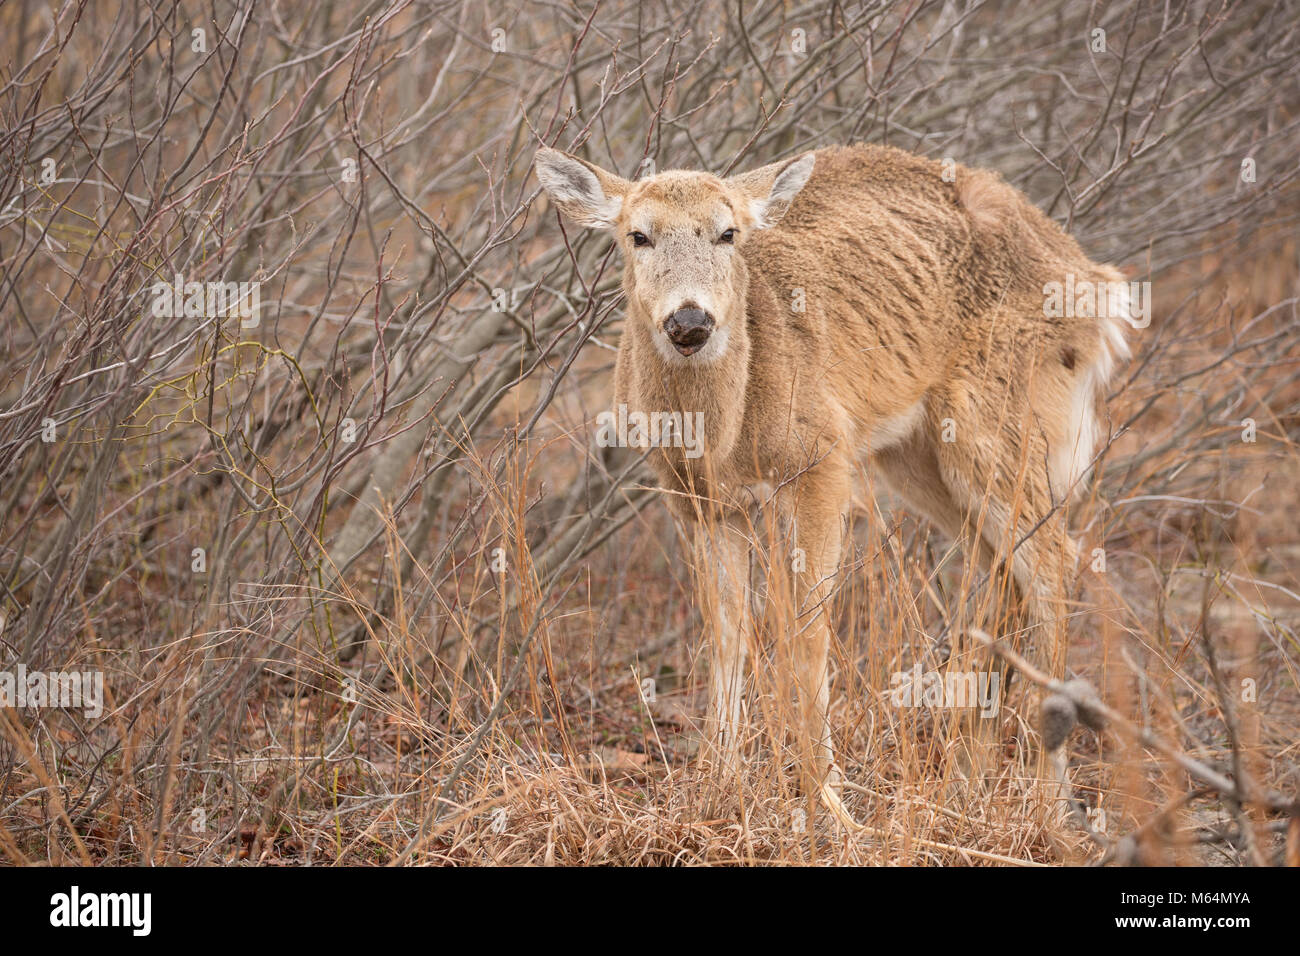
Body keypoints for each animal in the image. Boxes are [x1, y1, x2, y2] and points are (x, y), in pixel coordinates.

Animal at [534, 142, 1133, 826]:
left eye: (728, 232)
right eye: (638, 235)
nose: (690, 321)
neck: (723, 431)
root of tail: (1095, 282)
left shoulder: (823, 459)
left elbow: (808, 634)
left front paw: (830, 803)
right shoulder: (697, 500)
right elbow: (727, 634)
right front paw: (714, 786)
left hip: (996, 419)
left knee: (1055, 560)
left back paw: (1048, 801)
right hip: (917, 453)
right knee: (1004, 569)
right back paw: (968, 778)